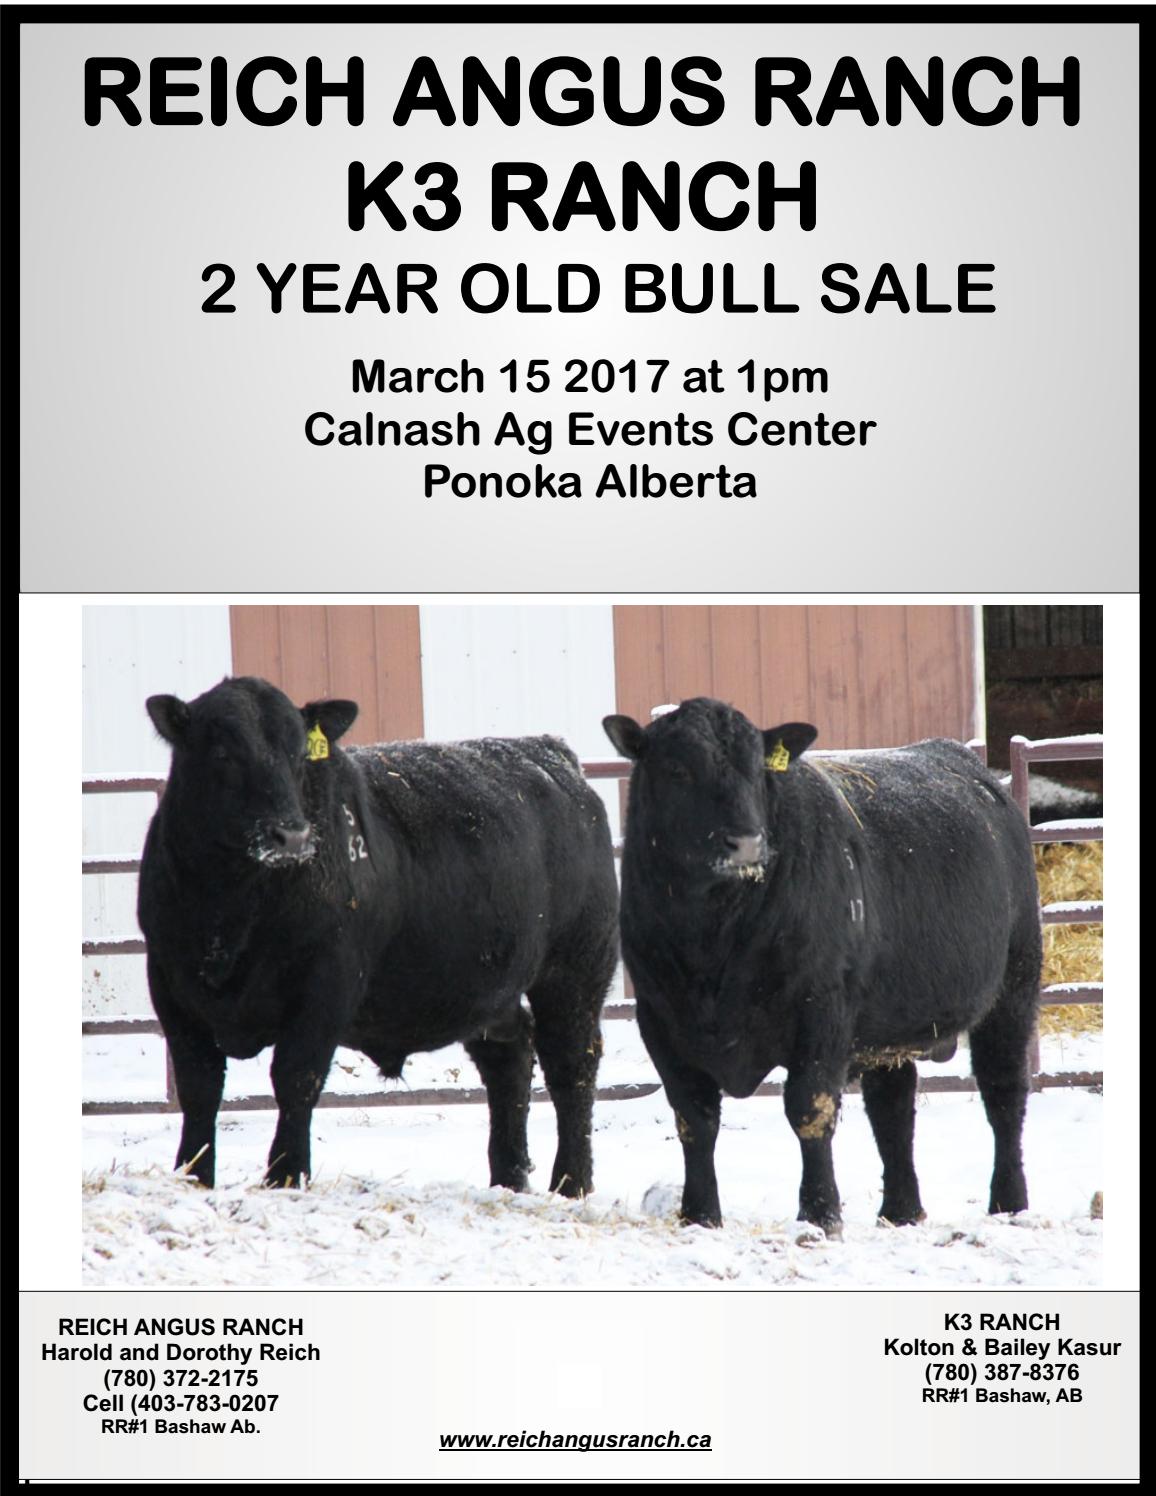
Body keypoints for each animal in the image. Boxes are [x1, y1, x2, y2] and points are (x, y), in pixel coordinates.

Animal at [138, 676, 619, 1195]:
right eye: (222, 752)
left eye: (299, 754)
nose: (290, 836)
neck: (228, 913)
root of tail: (548, 752)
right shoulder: (170, 986)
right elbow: (199, 1087)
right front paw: (193, 1175)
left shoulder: (326, 983)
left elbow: (296, 1078)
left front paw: (285, 1175)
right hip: (491, 986)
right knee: (508, 1058)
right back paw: (509, 1177)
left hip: (575, 970)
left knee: (571, 1065)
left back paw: (571, 1182)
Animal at [603, 698, 1042, 1236]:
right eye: (677, 769)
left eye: (758, 771)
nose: (745, 842)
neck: (713, 939)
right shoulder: (659, 1018)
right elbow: (695, 1118)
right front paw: (700, 1213)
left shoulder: (821, 1010)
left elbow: (809, 1108)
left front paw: (819, 1213)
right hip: (888, 1023)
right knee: (893, 1108)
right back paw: (901, 1210)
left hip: (1014, 987)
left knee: (1004, 1093)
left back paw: (1009, 1202)